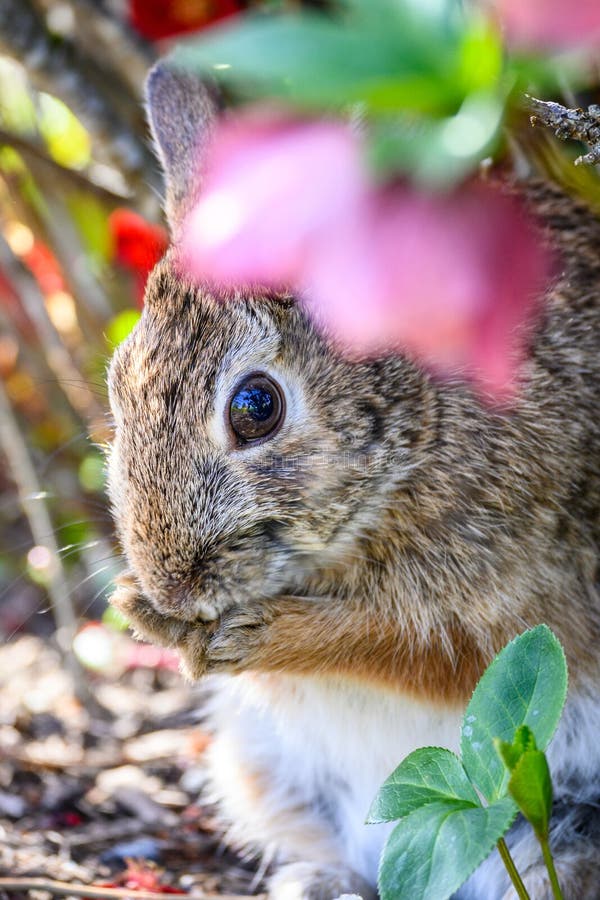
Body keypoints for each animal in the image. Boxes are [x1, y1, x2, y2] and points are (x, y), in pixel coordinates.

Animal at [107, 61, 600, 900]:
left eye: (256, 407)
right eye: (116, 380)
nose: (171, 584)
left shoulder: (520, 595)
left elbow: (411, 649)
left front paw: (267, 633)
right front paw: (145, 614)